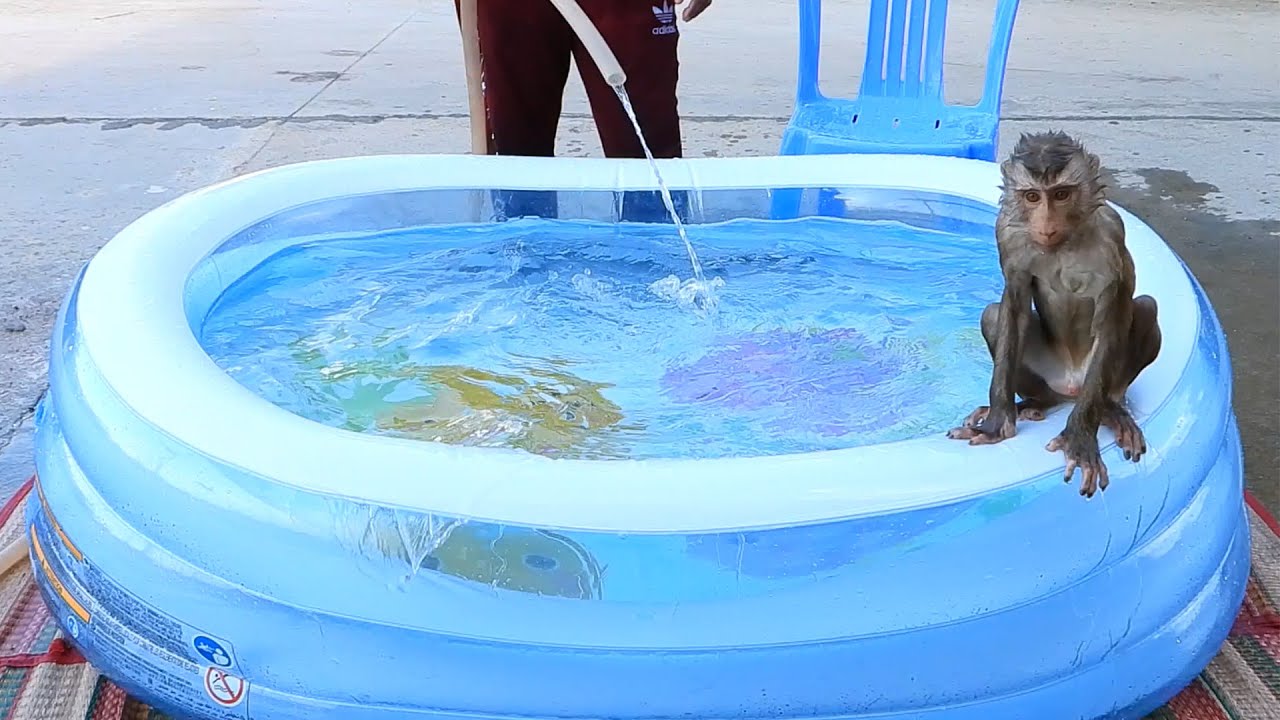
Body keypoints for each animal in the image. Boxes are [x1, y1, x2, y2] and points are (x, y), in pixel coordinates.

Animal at [946, 131, 1162, 498]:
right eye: (1033, 197)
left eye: (1061, 194)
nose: (1046, 225)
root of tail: (1070, 387)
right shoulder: (1006, 232)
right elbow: (1013, 307)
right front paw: (996, 422)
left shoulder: (1112, 233)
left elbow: (1111, 319)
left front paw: (1079, 437)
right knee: (992, 315)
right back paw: (1035, 403)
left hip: (1101, 379)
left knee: (1145, 308)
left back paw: (1110, 410)